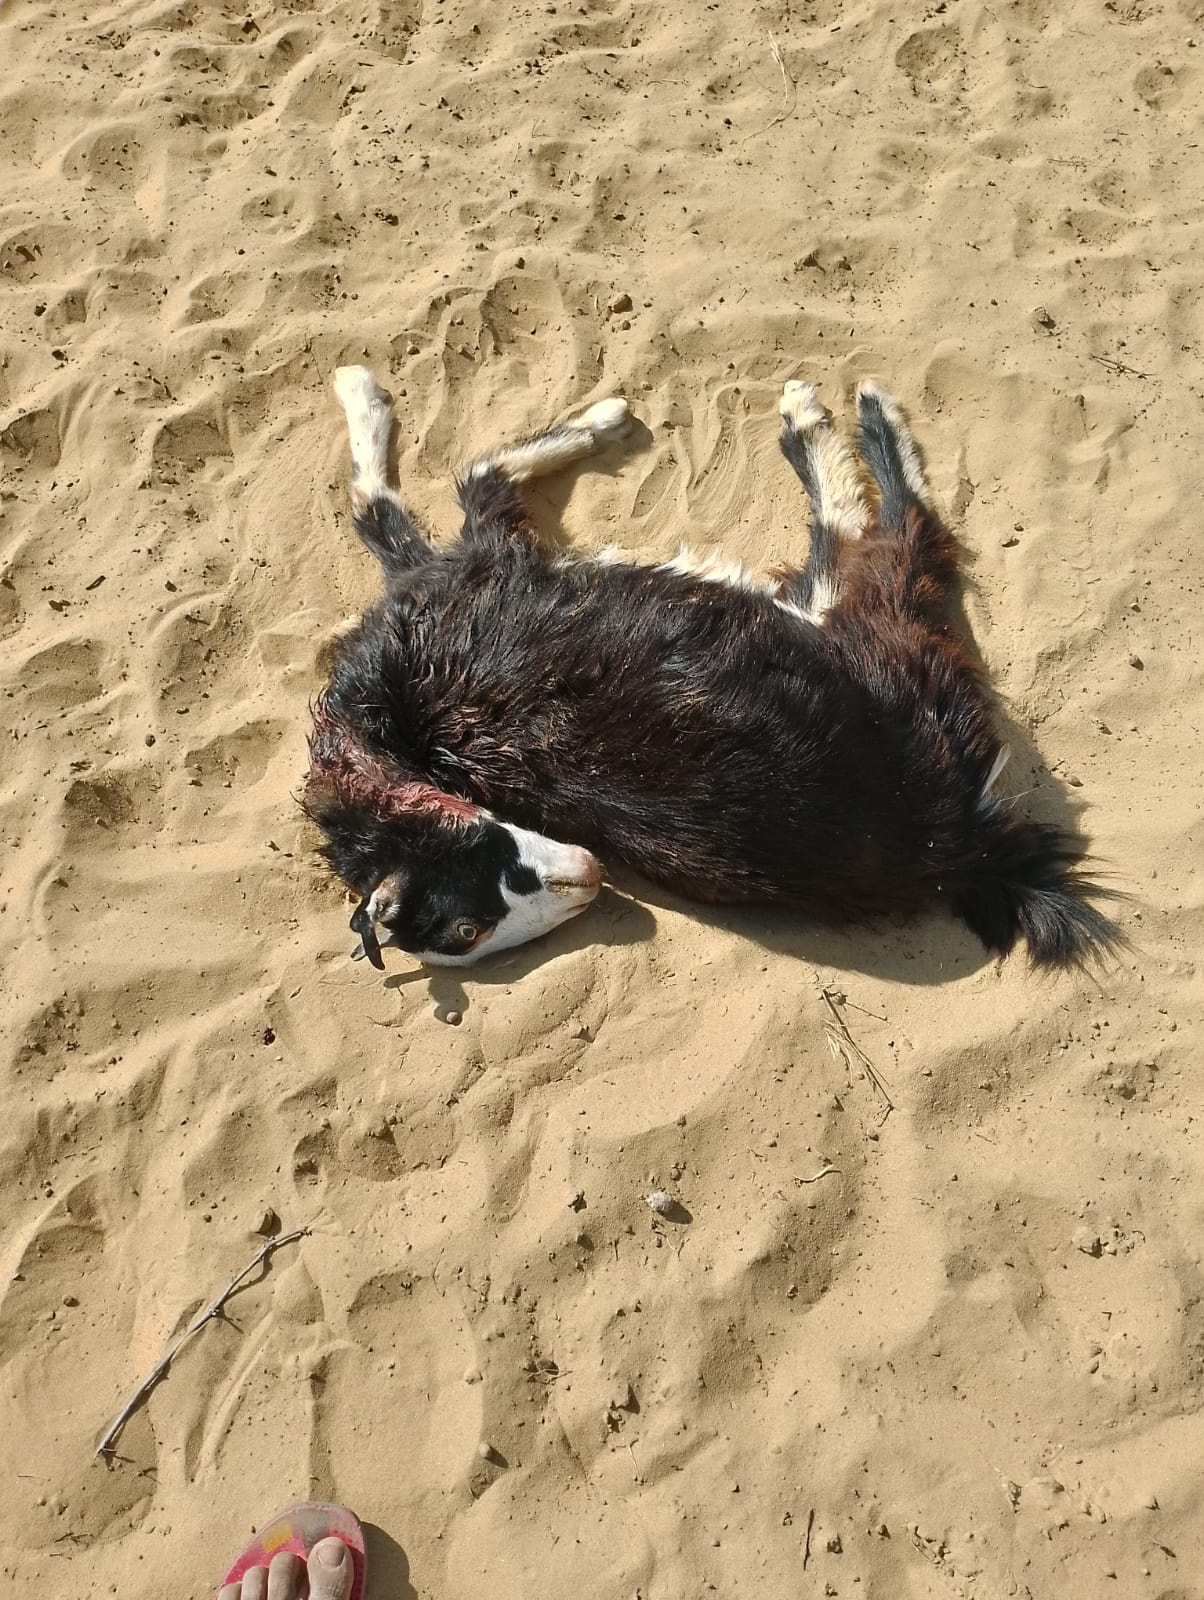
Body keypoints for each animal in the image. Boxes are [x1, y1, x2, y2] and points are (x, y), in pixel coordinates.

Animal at [303, 365, 1120, 970]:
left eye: (483, 895)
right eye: (475, 930)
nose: (590, 877)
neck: (394, 718)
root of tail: (962, 847)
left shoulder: (446, 572)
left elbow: (389, 503)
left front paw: (359, 391)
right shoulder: (480, 553)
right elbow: (454, 481)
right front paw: (602, 418)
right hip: (866, 639)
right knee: (890, 532)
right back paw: (831, 418)